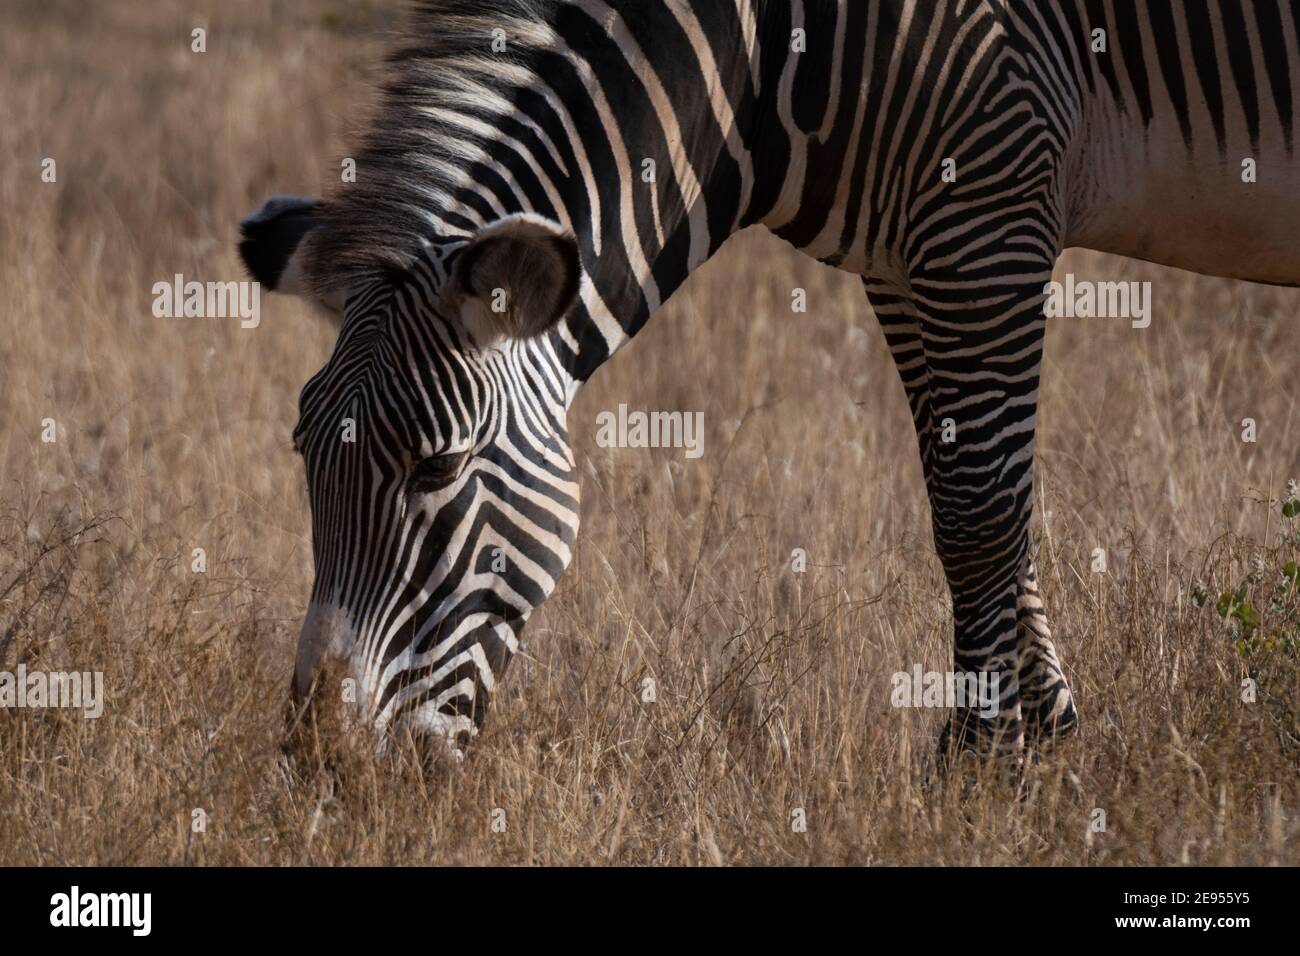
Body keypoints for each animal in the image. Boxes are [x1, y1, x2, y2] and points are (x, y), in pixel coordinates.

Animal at [240, 0, 1300, 759]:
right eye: (299, 453)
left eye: (438, 467)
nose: (320, 760)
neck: (769, 54)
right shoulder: (905, 251)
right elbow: (965, 497)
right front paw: (1048, 742)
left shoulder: (987, 210)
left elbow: (980, 509)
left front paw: (983, 761)